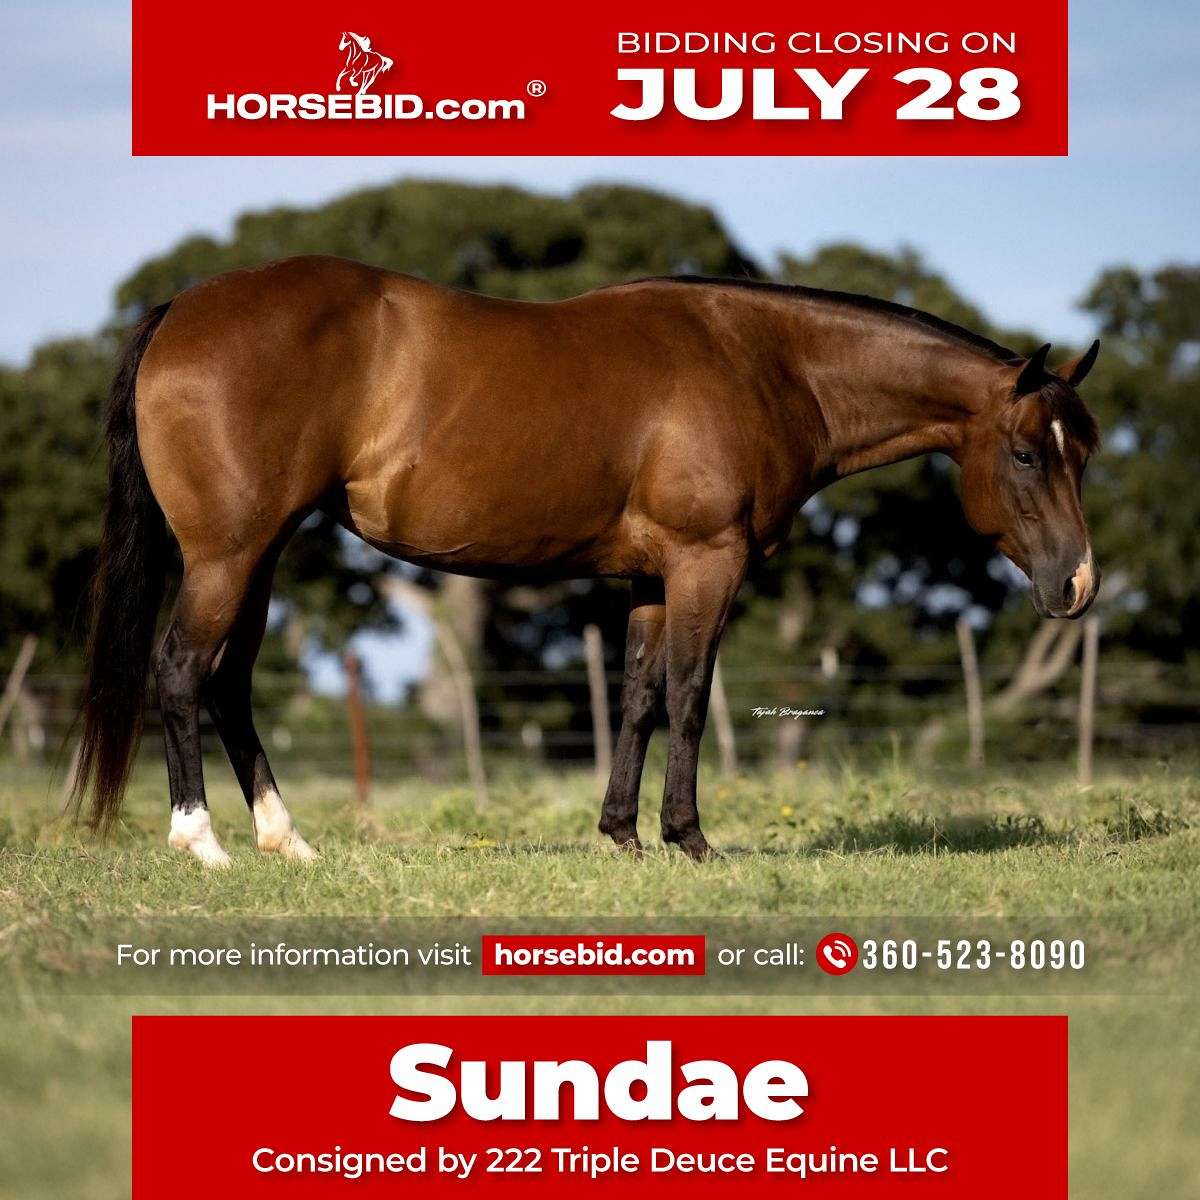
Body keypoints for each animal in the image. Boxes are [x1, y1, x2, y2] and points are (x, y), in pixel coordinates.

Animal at [74, 257, 1101, 866]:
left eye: (1082, 450)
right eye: (1026, 453)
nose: (1077, 585)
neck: (765, 362)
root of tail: (182, 310)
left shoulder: (651, 575)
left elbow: (640, 697)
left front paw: (623, 837)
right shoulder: (706, 563)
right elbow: (689, 695)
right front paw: (691, 841)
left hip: (262, 554)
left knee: (228, 682)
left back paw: (286, 842)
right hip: (228, 555)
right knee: (181, 671)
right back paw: (202, 842)